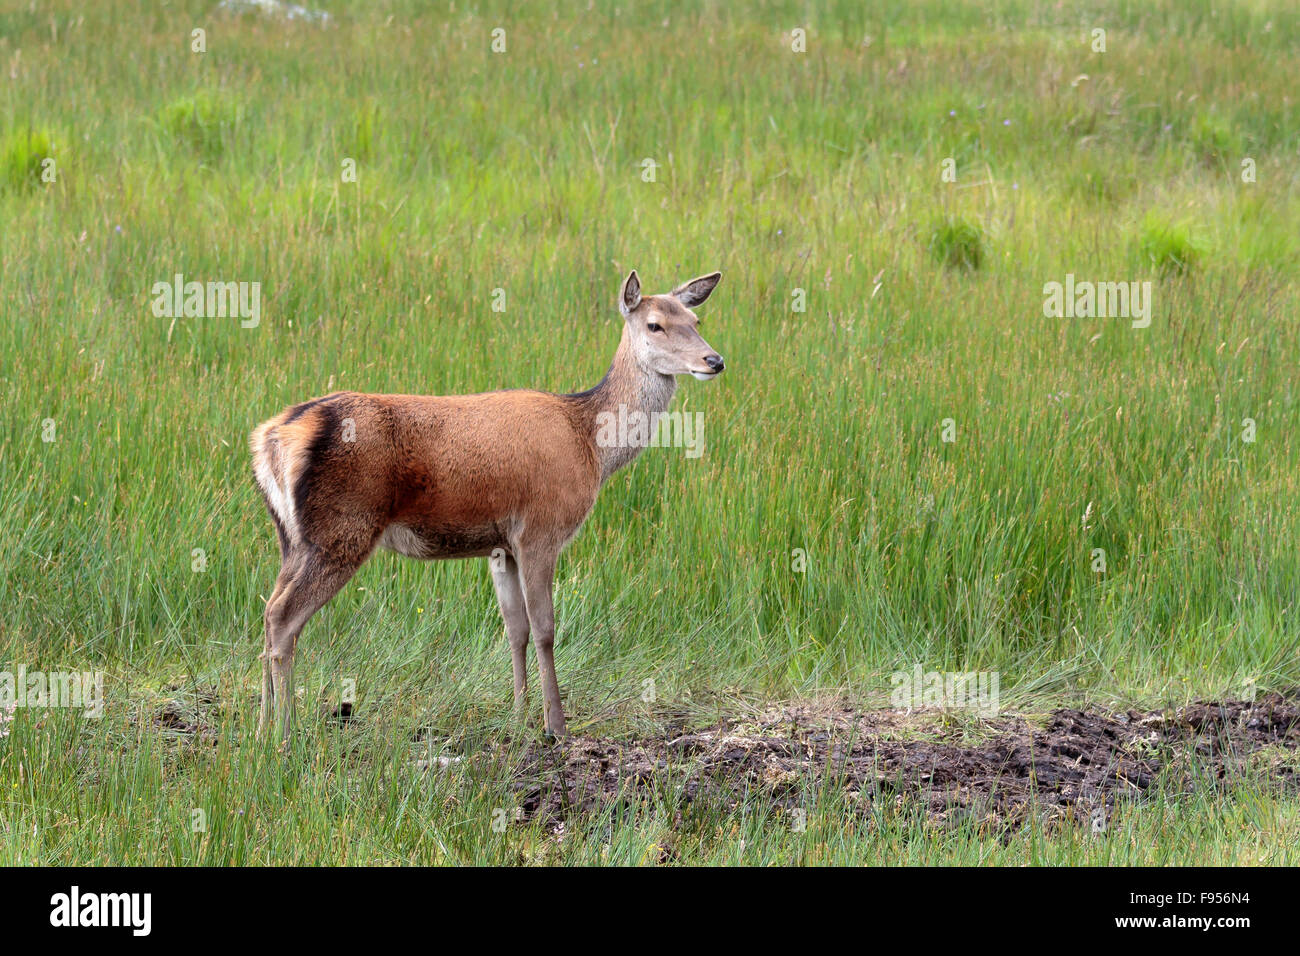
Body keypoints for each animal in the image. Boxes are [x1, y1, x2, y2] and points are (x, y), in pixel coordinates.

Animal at [249, 270, 725, 742]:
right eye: (655, 325)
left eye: (695, 320)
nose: (714, 360)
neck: (592, 444)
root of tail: (272, 436)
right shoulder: (540, 529)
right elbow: (545, 628)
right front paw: (556, 727)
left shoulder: (501, 545)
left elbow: (515, 628)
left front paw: (518, 716)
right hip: (343, 527)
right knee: (284, 617)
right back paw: (285, 733)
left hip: (292, 537)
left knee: (268, 609)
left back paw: (263, 727)